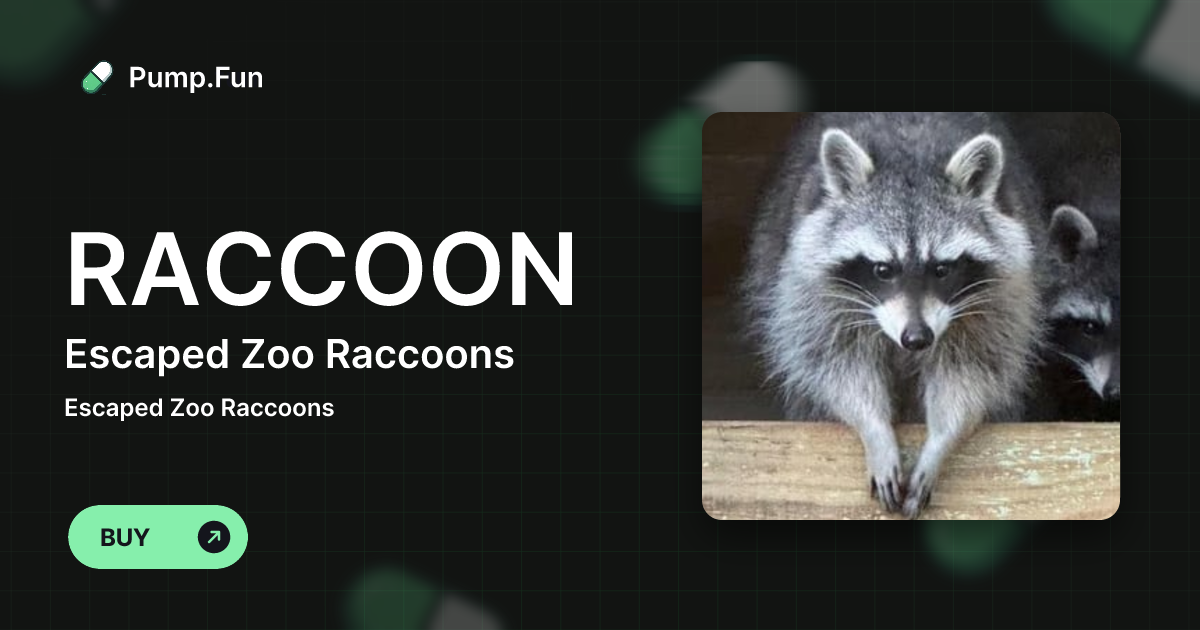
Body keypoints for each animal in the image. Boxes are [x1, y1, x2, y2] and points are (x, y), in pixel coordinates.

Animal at [741, 112, 1047, 518]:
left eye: (942, 269)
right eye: (883, 270)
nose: (917, 338)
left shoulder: (1002, 297)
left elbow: (972, 370)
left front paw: (940, 441)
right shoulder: (809, 286)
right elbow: (835, 362)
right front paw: (875, 431)